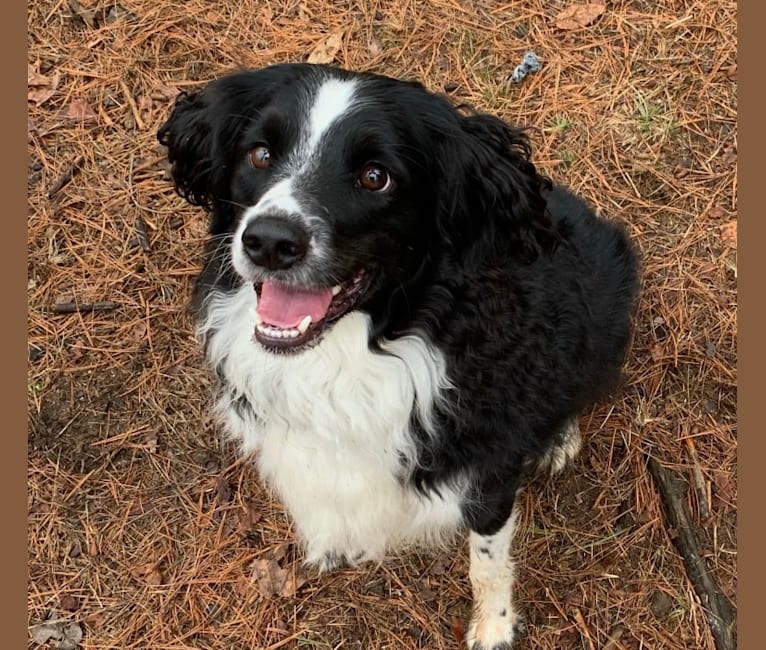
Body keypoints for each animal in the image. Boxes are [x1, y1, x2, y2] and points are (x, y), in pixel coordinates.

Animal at [158, 62, 640, 648]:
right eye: (261, 154)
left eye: (375, 176)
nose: (269, 241)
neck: (357, 350)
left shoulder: (487, 471)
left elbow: (487, 560)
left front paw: (494, 626)